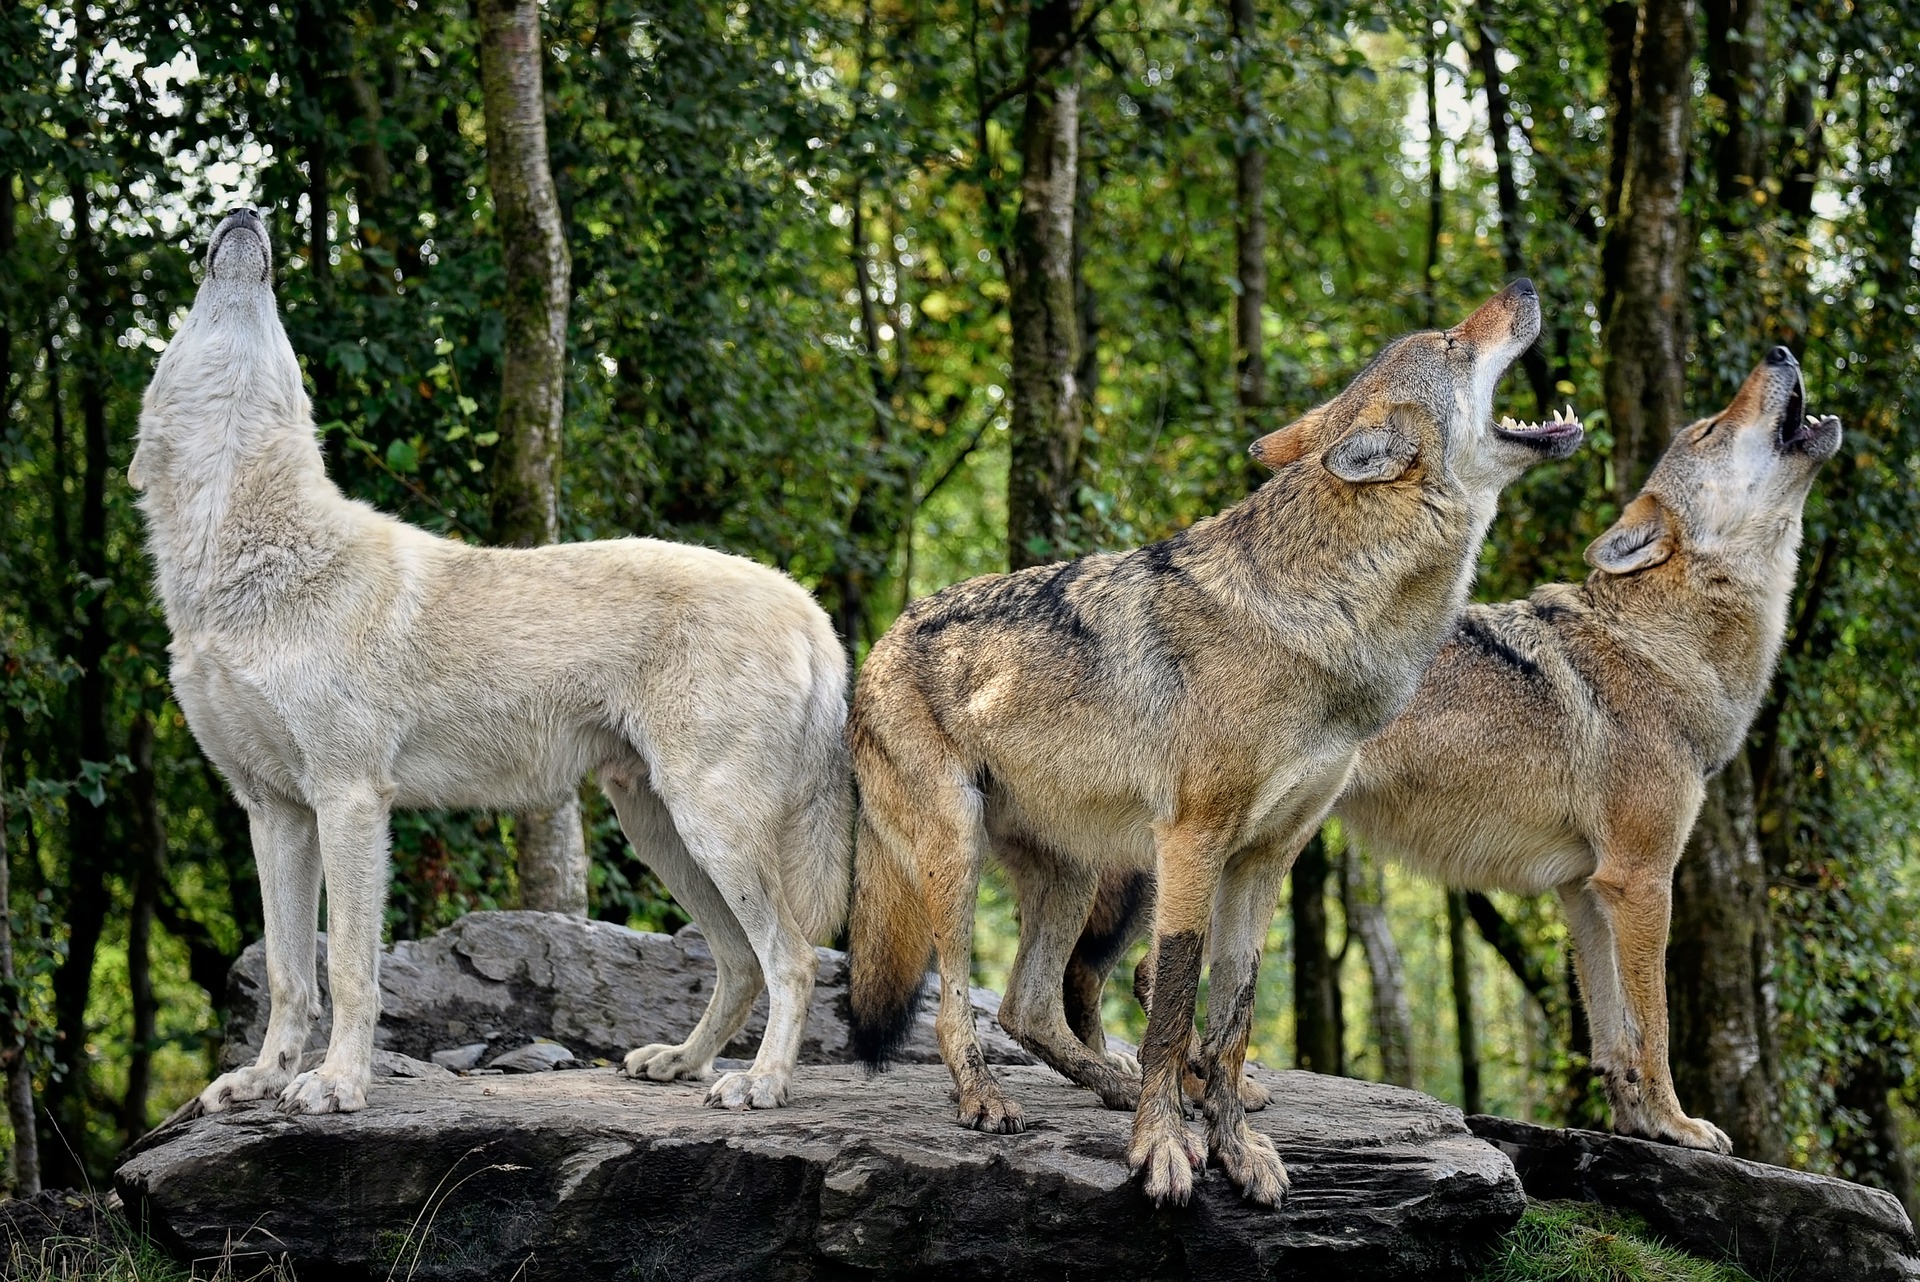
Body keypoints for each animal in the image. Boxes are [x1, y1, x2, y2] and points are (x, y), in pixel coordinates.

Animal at [134, 208, 851, 1116]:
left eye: (279, 327)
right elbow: (292, 976)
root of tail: (807, 605)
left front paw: (336, 1084)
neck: (248, 564)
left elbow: (350, 972)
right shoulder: (272, 812)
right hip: (661, 832)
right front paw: (264, 1078)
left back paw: (759, 1084)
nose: (246, 214)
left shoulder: (350, 801)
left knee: (791, 957)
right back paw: (683, 1063)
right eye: (189, 322)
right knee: (737, 961)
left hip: (710, 828)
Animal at [845, 281, 1579, 1206]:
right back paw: (987, 1100)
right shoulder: (1193, 842)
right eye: (1451, 342)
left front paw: (1233, 1143)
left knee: (1027, 1008)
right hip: (959, 855)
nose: (1524, 286)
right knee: (955, 1005)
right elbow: (1173, 1008)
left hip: (1075, 875)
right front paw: (1163, 1144)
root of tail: (877, 641)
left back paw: (1109, 1084)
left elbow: (1232, 1017)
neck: (1330, 622)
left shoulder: (1266, 858)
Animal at [1065, 349, 1838, 1156]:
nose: (1781, 353)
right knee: (1144, 973)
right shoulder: (1641, 880)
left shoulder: (1586, 891)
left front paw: (1633, 1124)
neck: (1660, 645)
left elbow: (1612, 1034)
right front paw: (1676, 1124)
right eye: (1712, 429)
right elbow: (1652, 1027)